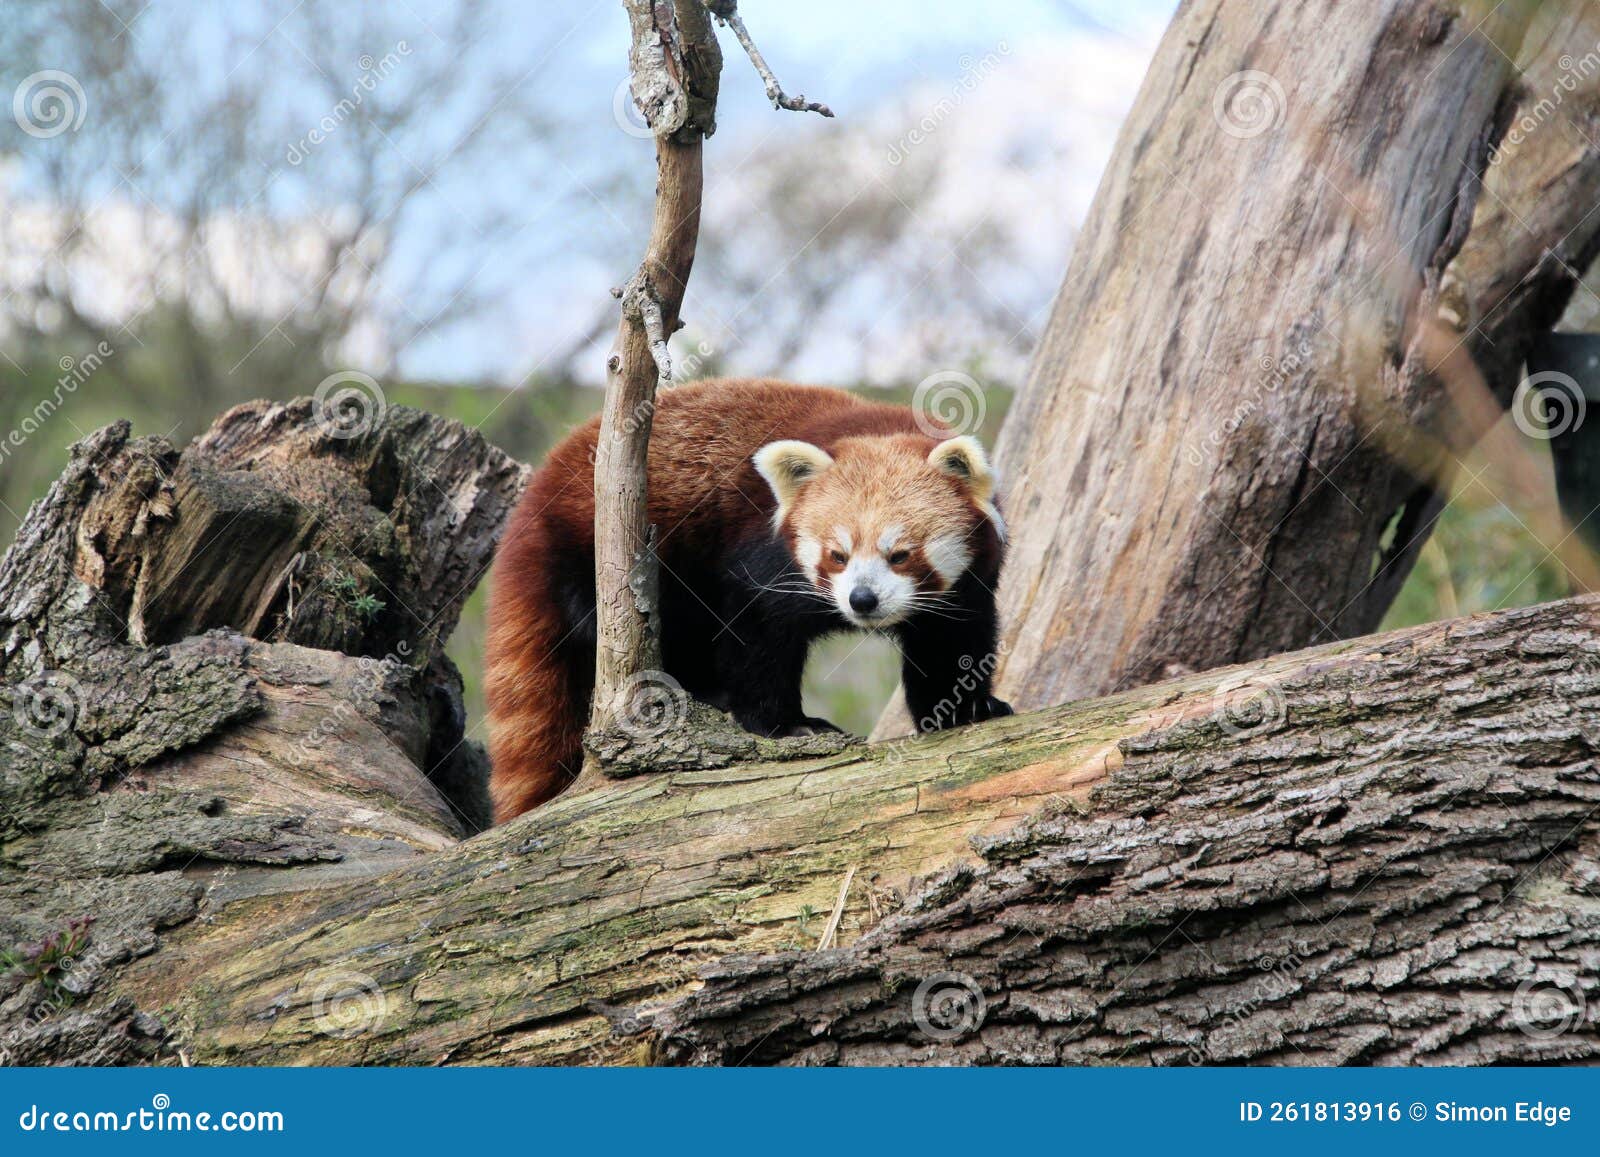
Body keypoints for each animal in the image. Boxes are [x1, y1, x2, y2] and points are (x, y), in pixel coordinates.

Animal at [485, 379, 1011, 822]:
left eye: (899, 554)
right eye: (837, 555)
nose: (862, 600)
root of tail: (535, 499)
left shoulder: (968, 586)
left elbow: (951, 640)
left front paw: (962, 709)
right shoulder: (759, 549)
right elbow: (757, 639)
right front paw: (785, 726)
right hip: (601, 556)